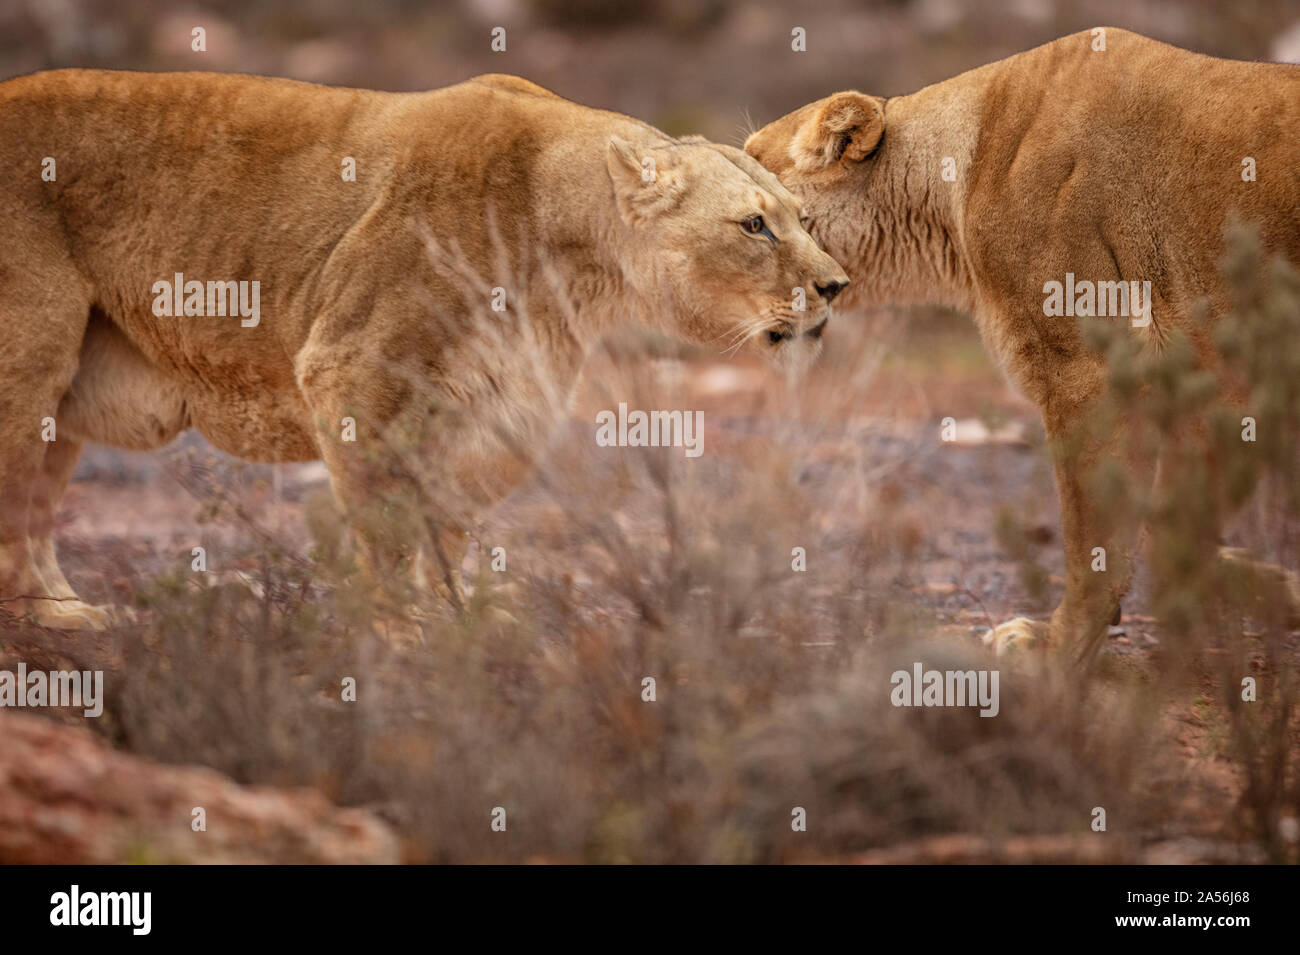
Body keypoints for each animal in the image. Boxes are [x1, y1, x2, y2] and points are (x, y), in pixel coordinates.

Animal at [0, 69, 848, 630]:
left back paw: (65, 613)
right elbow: (385, 527)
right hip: (29, 353)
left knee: (38, 500)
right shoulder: (350, 368)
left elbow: (445, 527)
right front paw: (400, 636)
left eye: (800, 215)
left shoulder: (499, 402)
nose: (837, 285)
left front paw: (452, 624)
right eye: (754, 226)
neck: (570, 250)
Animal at [745, 28, 1300, 658]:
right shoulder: (1219, 381)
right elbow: (1168, 524)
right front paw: (1273, 590)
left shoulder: (1089, 371)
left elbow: (1095, 539)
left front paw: (1054, 650)